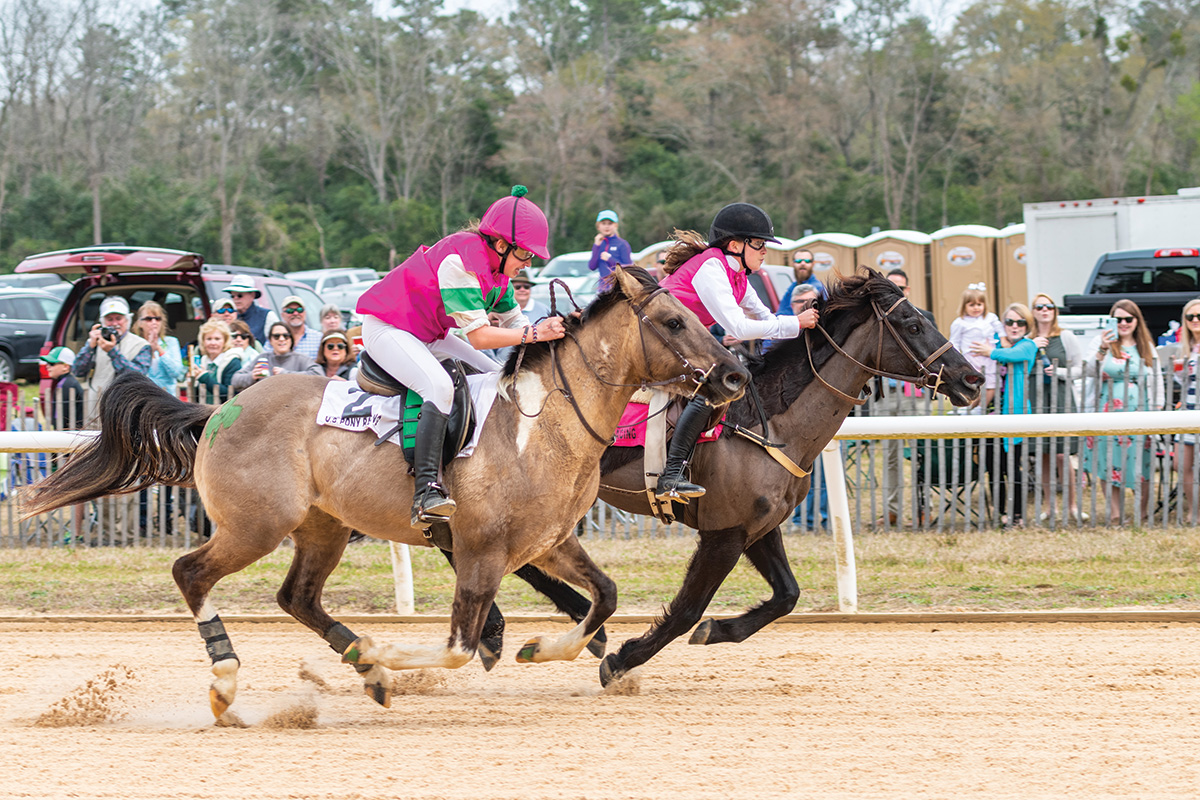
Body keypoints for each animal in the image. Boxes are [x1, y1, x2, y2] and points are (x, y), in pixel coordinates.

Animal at [22, 266, 750, 718]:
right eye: (673, 320)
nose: (735, 375)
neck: (543, 422)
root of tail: (220, 405)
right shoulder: (482, 551)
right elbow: (458, 645)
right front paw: (394, 652)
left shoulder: (548, 543)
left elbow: (604, 597)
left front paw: (546, 649)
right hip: (255, 525)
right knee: (191, 573)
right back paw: (230, 682)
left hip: (323, 527)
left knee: (296, 597)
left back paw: (361, 668)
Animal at [512, 268, 984, 684]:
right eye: (912, 323)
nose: (973, 378)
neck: (771, 426)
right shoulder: (724, 531)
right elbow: (687, 610)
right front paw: (622, 661)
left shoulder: (759, 527)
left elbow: (787, 595)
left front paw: (717, 630)